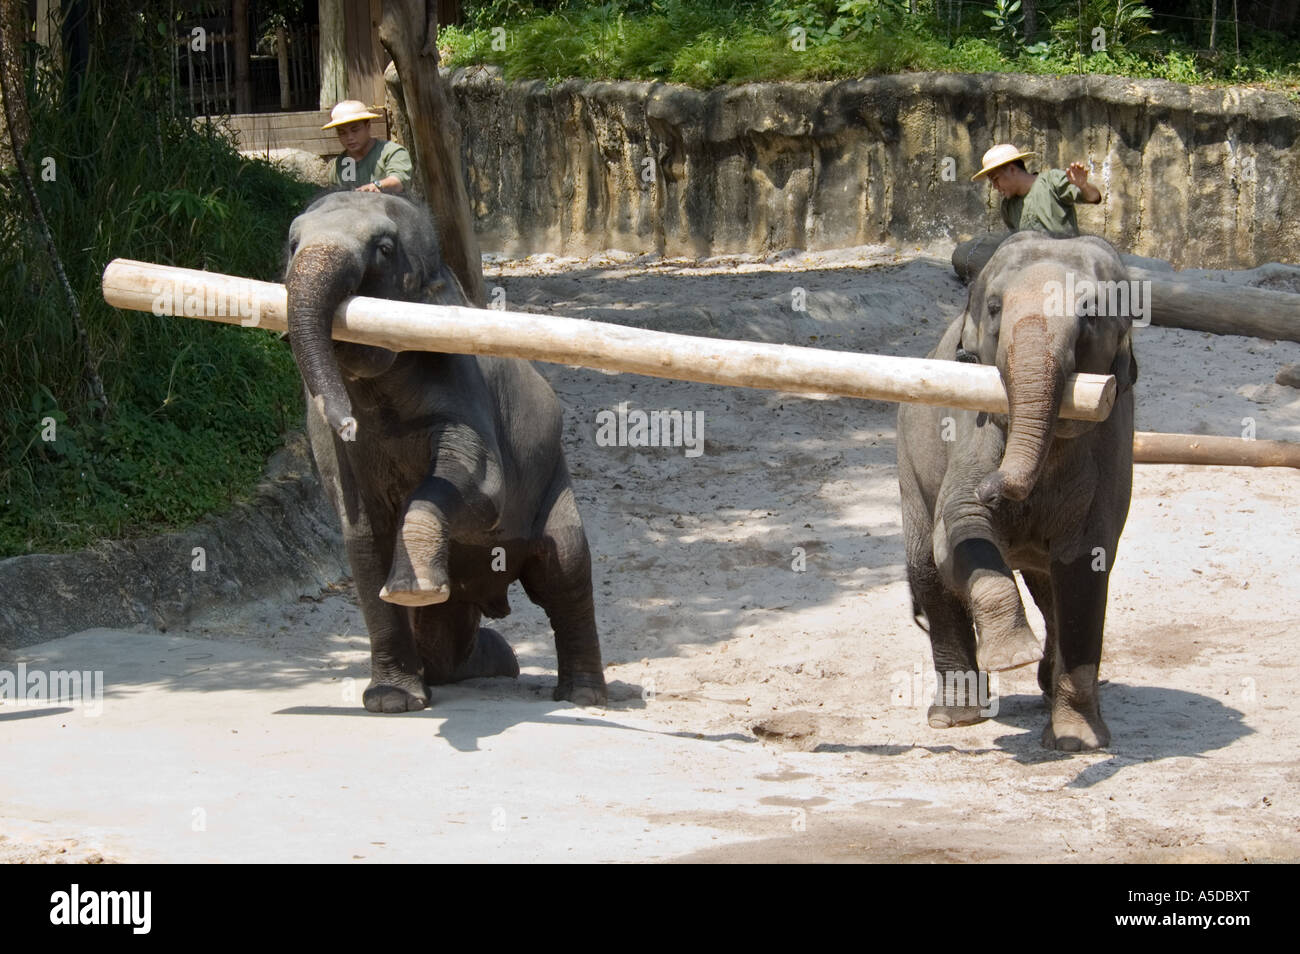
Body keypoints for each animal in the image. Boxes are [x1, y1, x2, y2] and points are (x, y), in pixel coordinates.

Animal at [283, 191, 607, 712]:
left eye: (385, 249)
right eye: (292, 245)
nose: (346, 422)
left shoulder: (457, 376)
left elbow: (481, 484)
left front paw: (412, 589)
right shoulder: (323, 434)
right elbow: (362, 540)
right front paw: (392, 703)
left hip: (552, 483)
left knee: (563, 571)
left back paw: (581, 696)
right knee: (445, 636)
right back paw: (493, 660)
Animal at [896, 232, 1138, 750]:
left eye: (1092, 314)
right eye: (994, 307)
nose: (993, 489)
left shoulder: (1112, 437)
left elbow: (1085, 566)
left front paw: (1077, 742)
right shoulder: (973, 425)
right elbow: (957, 531)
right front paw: (1011, 656)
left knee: (1049, 586)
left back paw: (1045, 687)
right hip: (909, 459)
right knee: (926, 566)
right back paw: (954, 718)